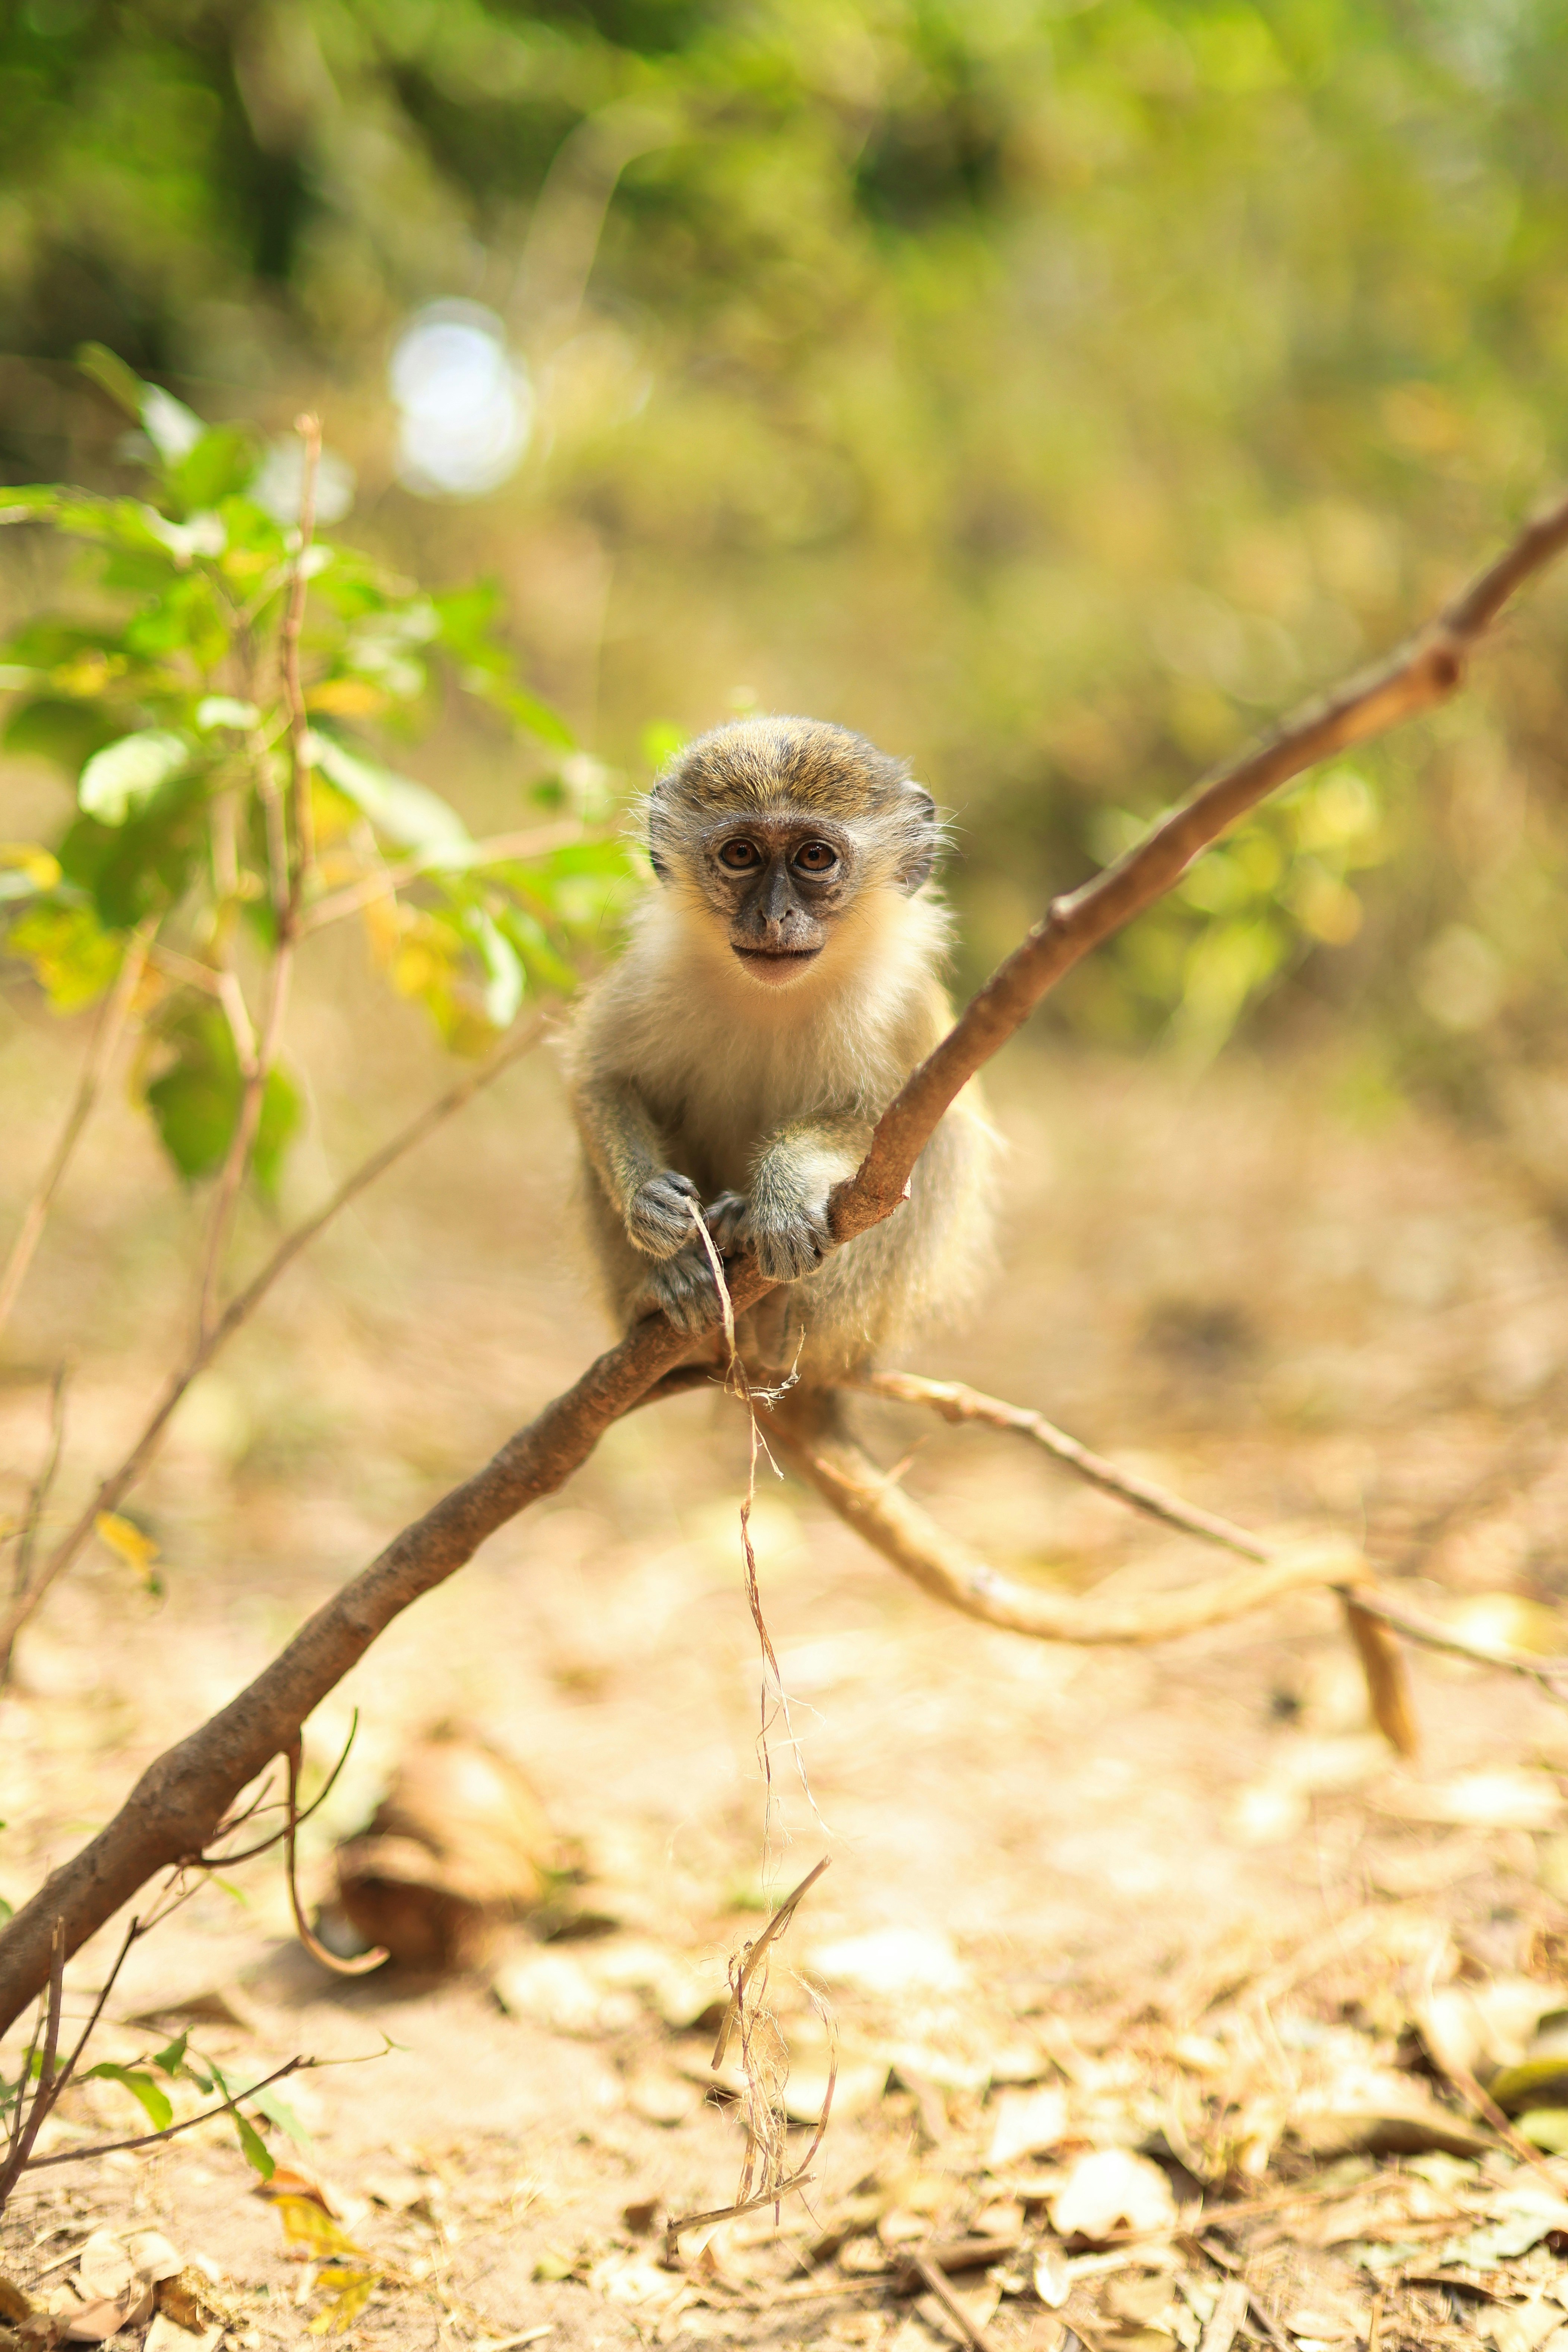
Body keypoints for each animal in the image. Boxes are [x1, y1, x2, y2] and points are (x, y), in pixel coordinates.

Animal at [564, 714, 995, 1383]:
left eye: (814, 857)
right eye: (740, 854)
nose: (772, 917)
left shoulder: (901, 1008)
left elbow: (898, 1142)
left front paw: (782, 1191)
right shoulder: (654, 972)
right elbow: (599, 1078)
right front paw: (647, 1199)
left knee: (944, 1145)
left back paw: (769, 1284)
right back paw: (662, 1290)